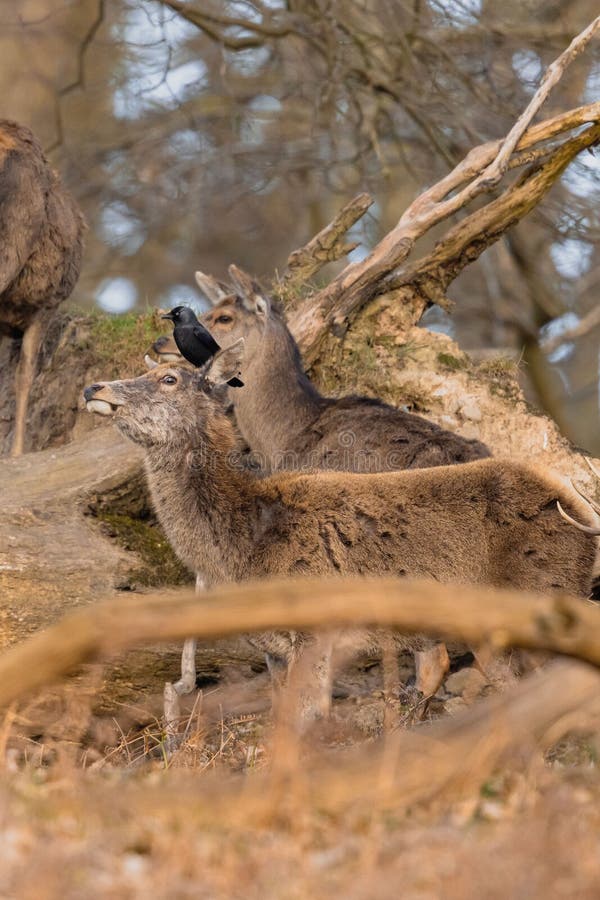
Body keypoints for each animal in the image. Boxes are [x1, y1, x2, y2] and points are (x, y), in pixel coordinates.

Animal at [84, 342, 598, 723]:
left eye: (168, 379)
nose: (93, 386)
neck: (241, 544)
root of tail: (582, 516)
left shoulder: (315, 630)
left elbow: (307, 718)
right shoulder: (272, 648)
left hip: (535, 597)